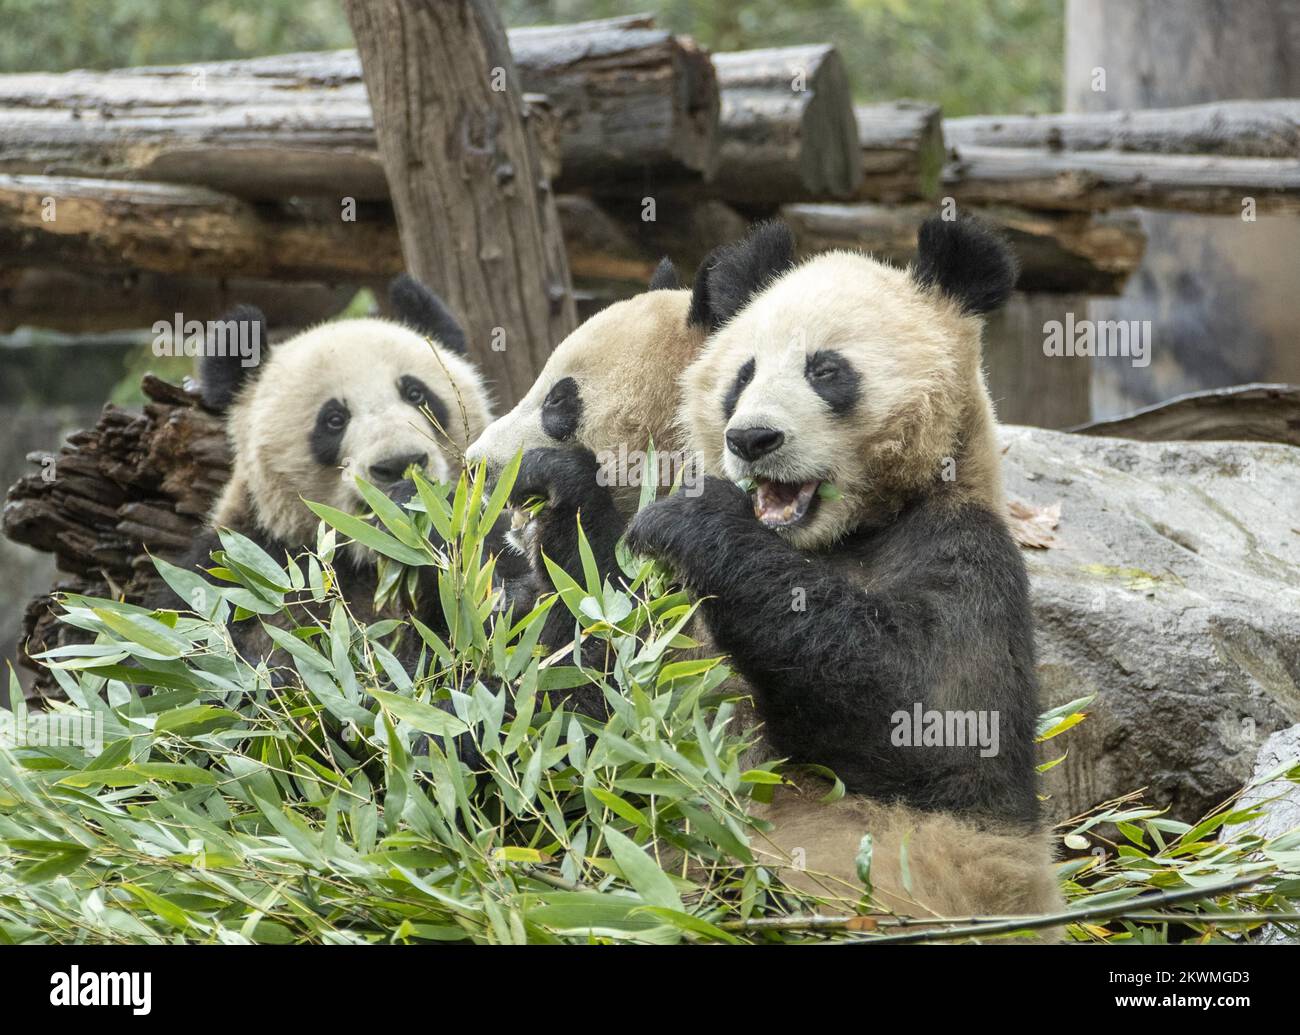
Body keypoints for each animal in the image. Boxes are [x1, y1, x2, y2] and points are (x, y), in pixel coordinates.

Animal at [620, 218, 1063, 921]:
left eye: (826, 370)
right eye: (742, 374)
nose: (752, 439)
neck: (840, 536)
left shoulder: (962, 548)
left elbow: (930, 716)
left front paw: (691, 517)